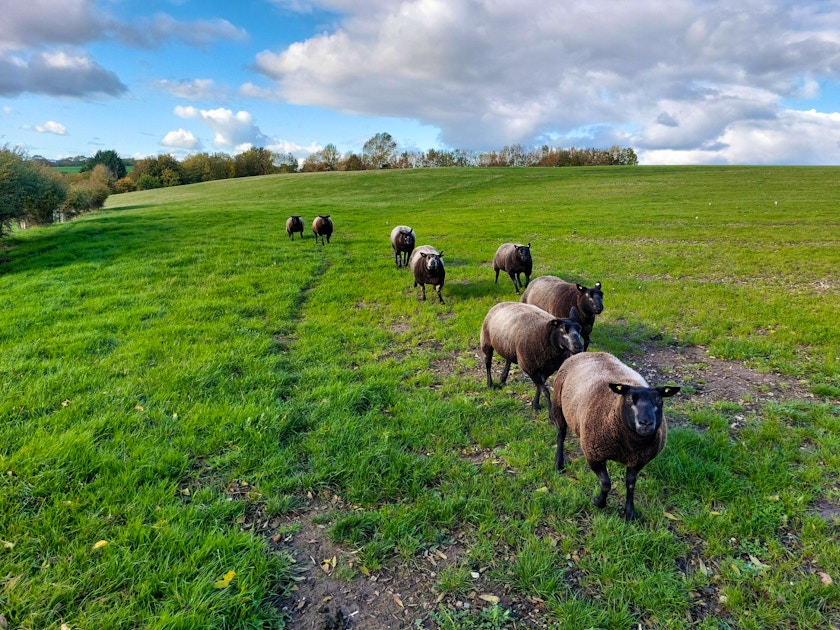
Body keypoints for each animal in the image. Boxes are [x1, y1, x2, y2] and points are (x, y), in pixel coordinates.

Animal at [551, 352, 680, 520]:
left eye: (659, 400)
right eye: (629, 399)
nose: (646, 423)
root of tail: (587, 352)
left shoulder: (638, 461)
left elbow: (630, 484)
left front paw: (630, 512)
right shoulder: (593, 455)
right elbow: (606, 483)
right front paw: (598, 502)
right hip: (558, 405)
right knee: (561, 435)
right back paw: (558, 464)